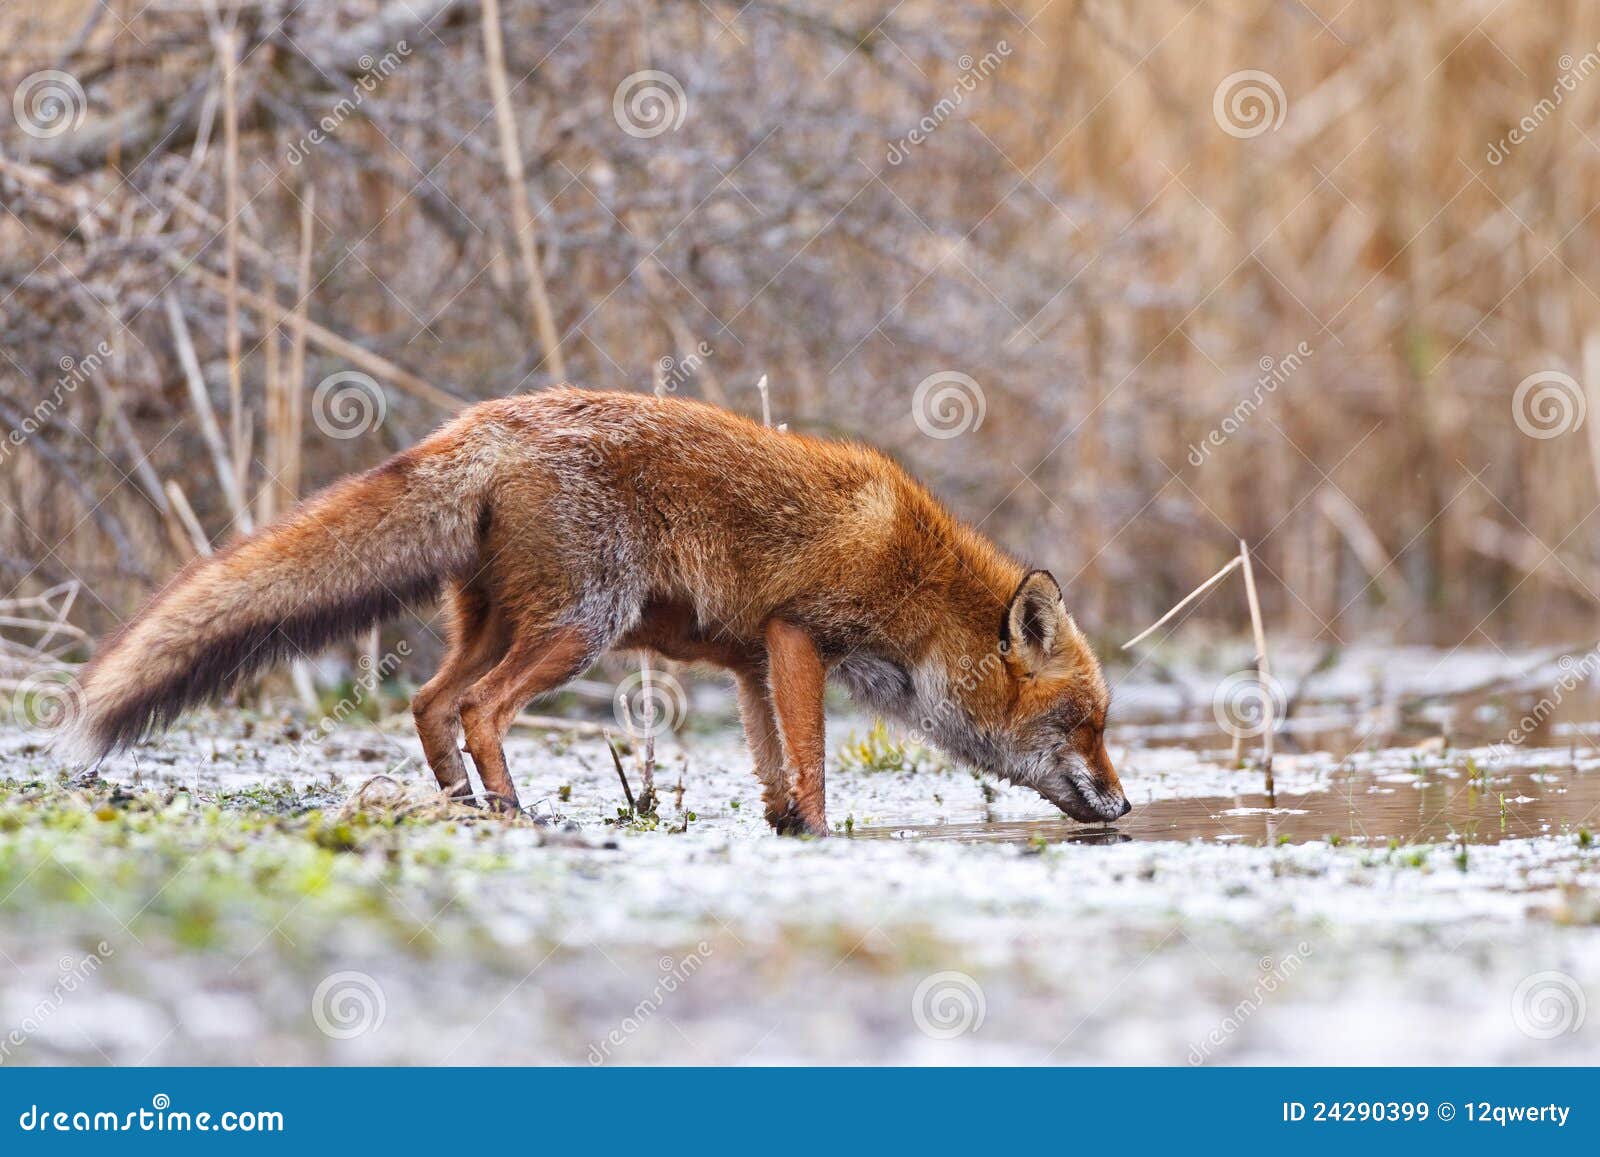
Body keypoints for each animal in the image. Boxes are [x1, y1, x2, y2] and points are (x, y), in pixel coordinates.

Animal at [66, 387, 1129, 835]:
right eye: (1082, 722)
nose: (1125, 804)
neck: (916, 581)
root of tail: (482, 422)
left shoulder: (751, 659)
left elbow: (774, 771)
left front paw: (785, 828)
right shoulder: (798, 637)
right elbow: (816, 769)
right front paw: (826, 840)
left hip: (504, 623)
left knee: (430, 703)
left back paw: (463, 808)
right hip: (580, 627)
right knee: (480, 709)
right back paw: (512, 808)